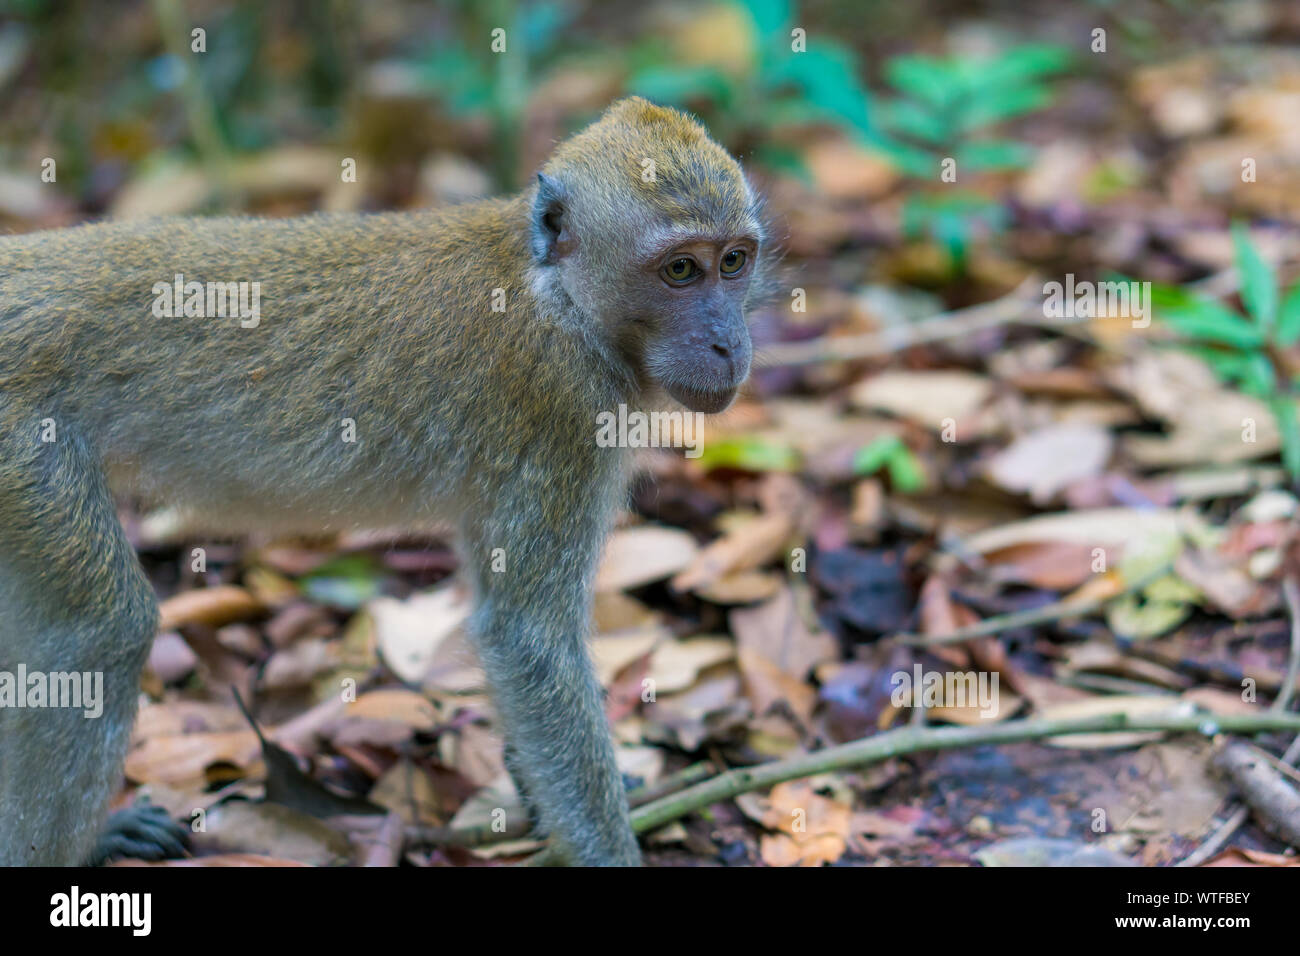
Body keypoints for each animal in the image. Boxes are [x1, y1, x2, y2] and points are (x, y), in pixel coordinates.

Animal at [0, 96, 764, 866]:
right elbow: (528, 639)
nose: (729, 344)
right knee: (100, 634)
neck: (561, 297)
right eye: (680, 270)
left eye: (732, 261)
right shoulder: (568, 411)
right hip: (22, 441)